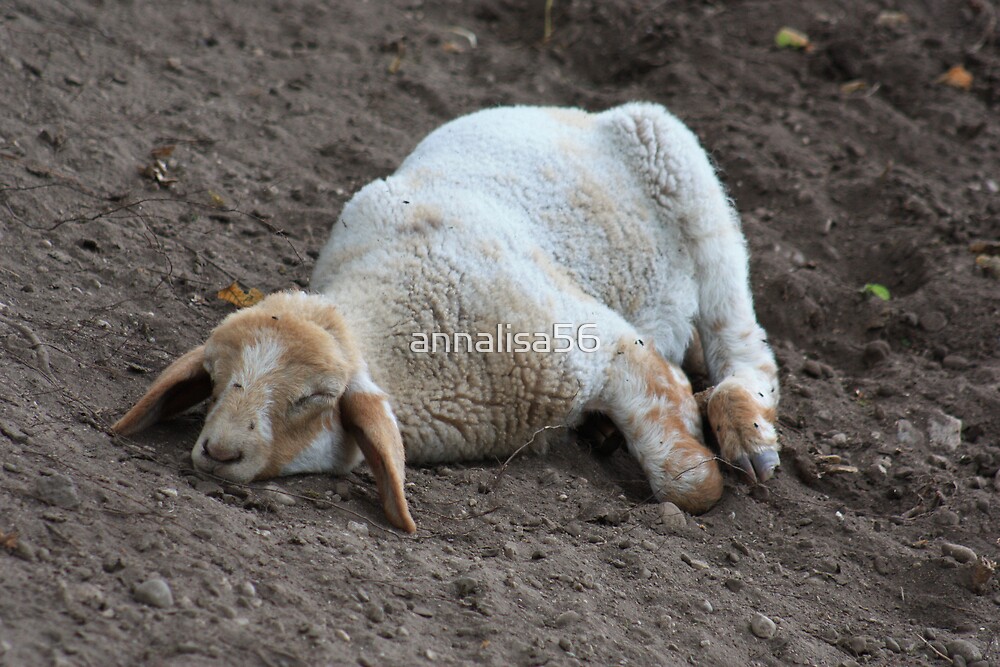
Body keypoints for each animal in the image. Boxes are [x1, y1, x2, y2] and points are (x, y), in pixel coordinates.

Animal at [113, 103, 781, 533]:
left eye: (314, 398)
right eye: (216, 379)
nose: (218, 453)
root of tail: (581, 112)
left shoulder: (607, 343)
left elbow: (689, 484)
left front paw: (698, 441)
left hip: (692, 191)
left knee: (745, 343)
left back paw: (746, 431)